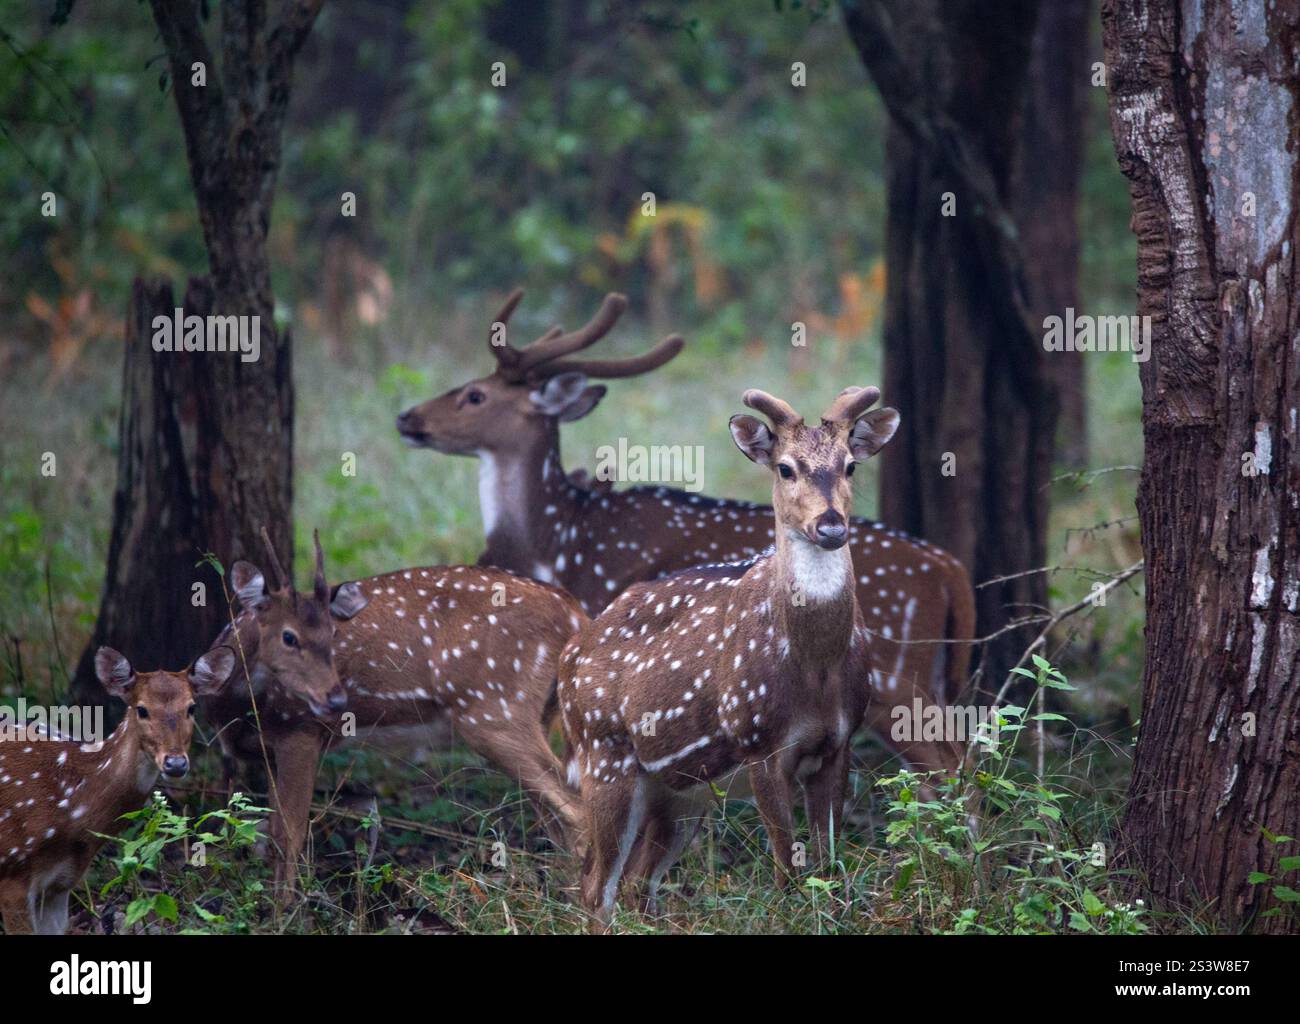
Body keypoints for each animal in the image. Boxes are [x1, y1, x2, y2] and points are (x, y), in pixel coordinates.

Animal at [204, 528, 590, 888]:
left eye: (334, 635)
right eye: (289, 637)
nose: (336, 700)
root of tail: (576, 615)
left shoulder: (301, 729)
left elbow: (290, 836)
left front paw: (287, 910)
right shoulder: (270, 748)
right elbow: (270, 834)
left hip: (496, 710)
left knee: (576, 807)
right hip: (538, 714)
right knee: (557, 814)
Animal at [395, 289, 975, 781]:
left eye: (474, 395)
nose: (406, 417)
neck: (559, 541)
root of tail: (952, 570)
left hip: (898, 677)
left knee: (951, 765)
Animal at [558, 385, 897, 926]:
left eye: (850, 465)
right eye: (785, 468)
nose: (830, 525)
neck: (815, 669)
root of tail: (568, 656)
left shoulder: (838, 742)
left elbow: (828, 867)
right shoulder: (758, 739)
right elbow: (787, 872)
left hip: (681, 792)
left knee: (636, 882)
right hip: (604, 752)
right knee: (595, 887)